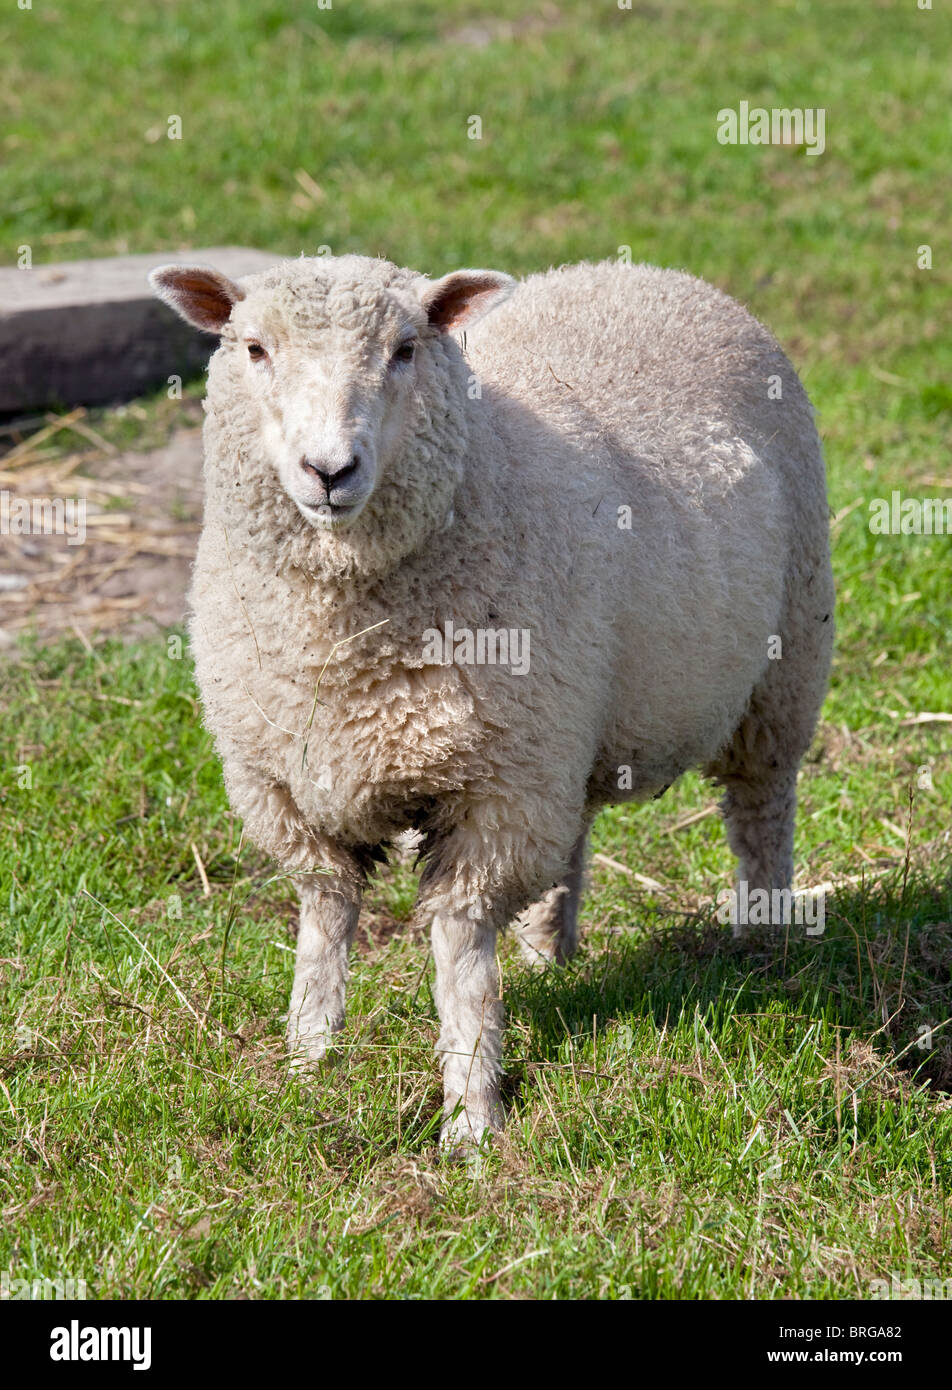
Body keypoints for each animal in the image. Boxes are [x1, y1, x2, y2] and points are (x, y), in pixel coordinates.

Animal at [150, 253, 834, 1149]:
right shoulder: (288, 785)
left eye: (406, 349)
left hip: (781, 670)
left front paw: (472, 1112)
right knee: (576, 835)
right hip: (572, 727)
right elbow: (325, 919)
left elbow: (461, 947)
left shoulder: (496, 793)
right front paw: (307, 1060)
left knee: (762, 813)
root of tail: (644, 270)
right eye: (254, 348)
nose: (330, 472)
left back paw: (766, 942)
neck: (343, 639)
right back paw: (550, 953)